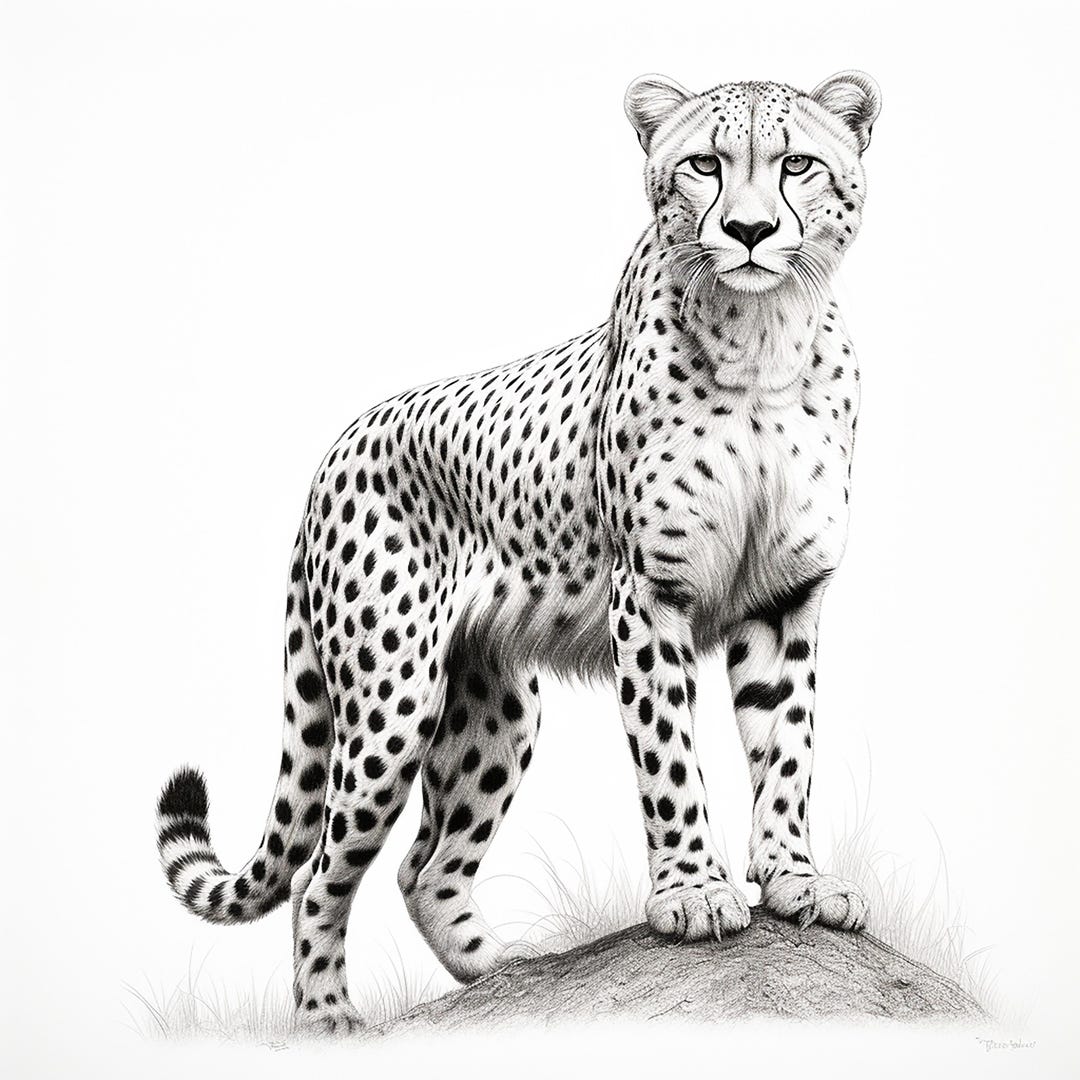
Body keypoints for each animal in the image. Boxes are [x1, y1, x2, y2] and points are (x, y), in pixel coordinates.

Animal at [156, 69, 882, 1035]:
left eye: (797, 164)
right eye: (703, 165)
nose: (751, 231)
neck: (762, 339)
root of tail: (335, 453)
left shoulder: (785, 596)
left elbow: (786, 748)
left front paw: (796, 878)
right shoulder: (648, 595)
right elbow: (670, 758)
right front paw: (693, 892)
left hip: (492, 712)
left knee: (424, 865)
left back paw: (507, 973)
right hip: (391, 701)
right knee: (319, 876)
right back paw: (327, 1019)